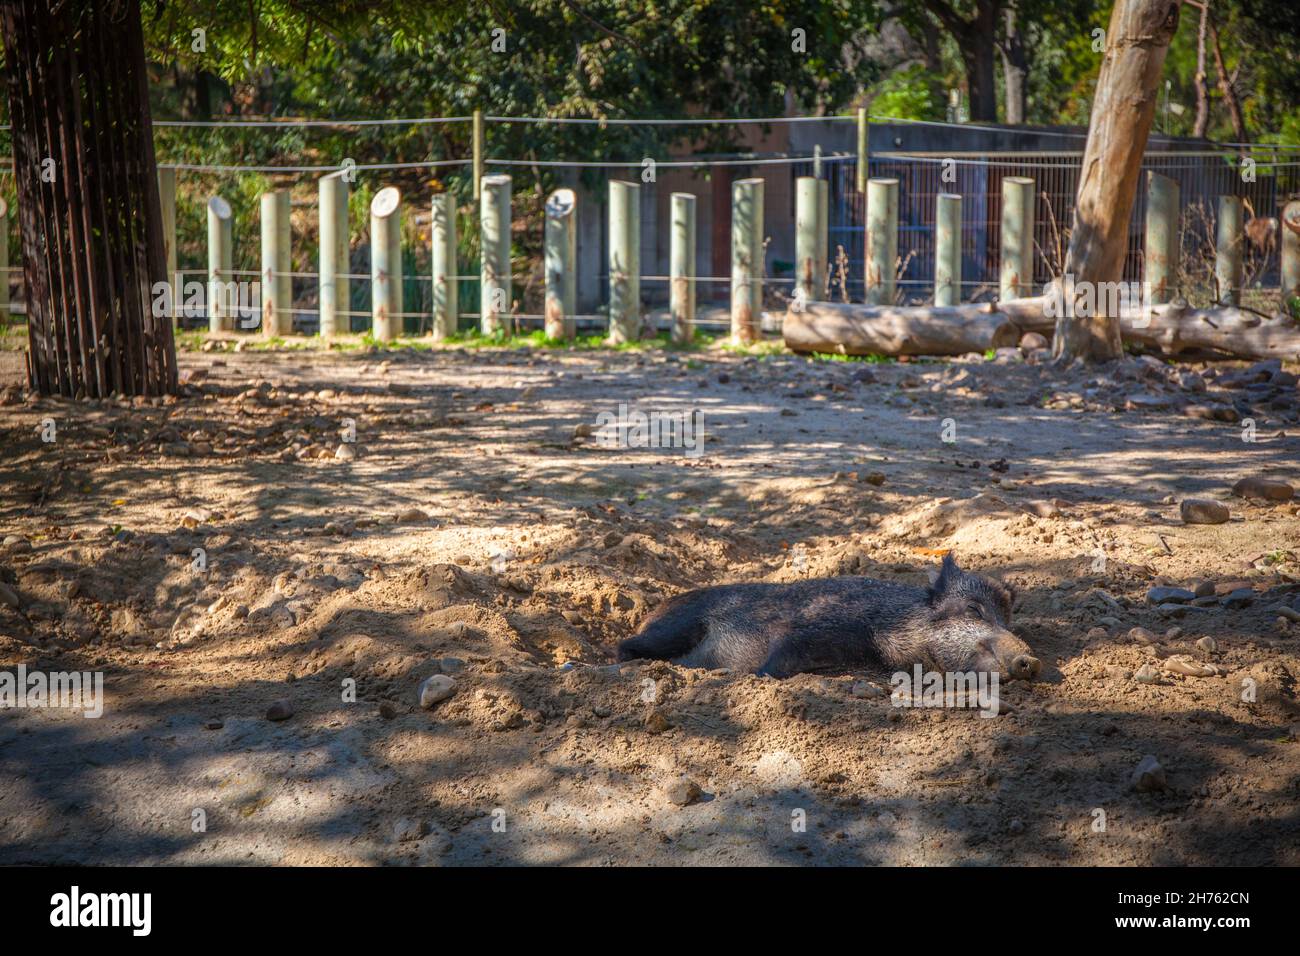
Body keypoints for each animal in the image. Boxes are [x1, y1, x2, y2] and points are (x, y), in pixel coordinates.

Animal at [617, 554, 1040, 680]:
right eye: (973, 609)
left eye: (1007, 622)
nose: (1031, 661)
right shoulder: (803, 629)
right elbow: (772, 665)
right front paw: (751, 678)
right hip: (674, 626)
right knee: (625, 645)